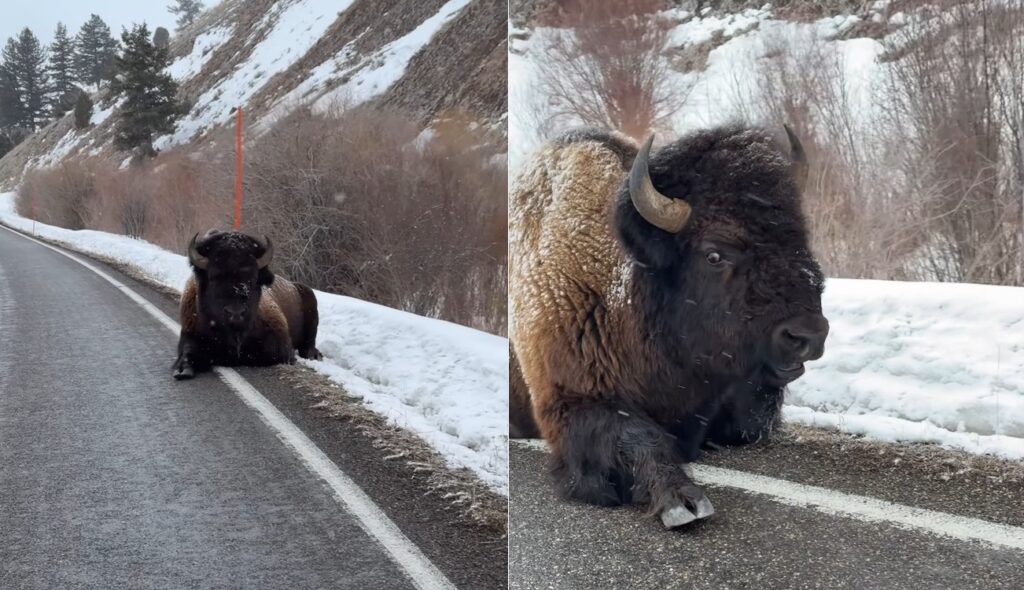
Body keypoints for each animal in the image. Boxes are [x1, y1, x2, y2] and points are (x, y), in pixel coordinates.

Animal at [172, 229, 322, 380]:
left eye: (253, 277)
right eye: (213, 277)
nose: (236, 313)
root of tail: (295, 285)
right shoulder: (190, 334)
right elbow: (188, 352)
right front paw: (182, 371)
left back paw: (314, 355)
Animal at [509, 125, 828, 527]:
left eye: (800, 237)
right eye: (714, 254)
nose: (808, 335)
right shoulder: (570, 400)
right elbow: (636, 436)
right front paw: (683, 502)